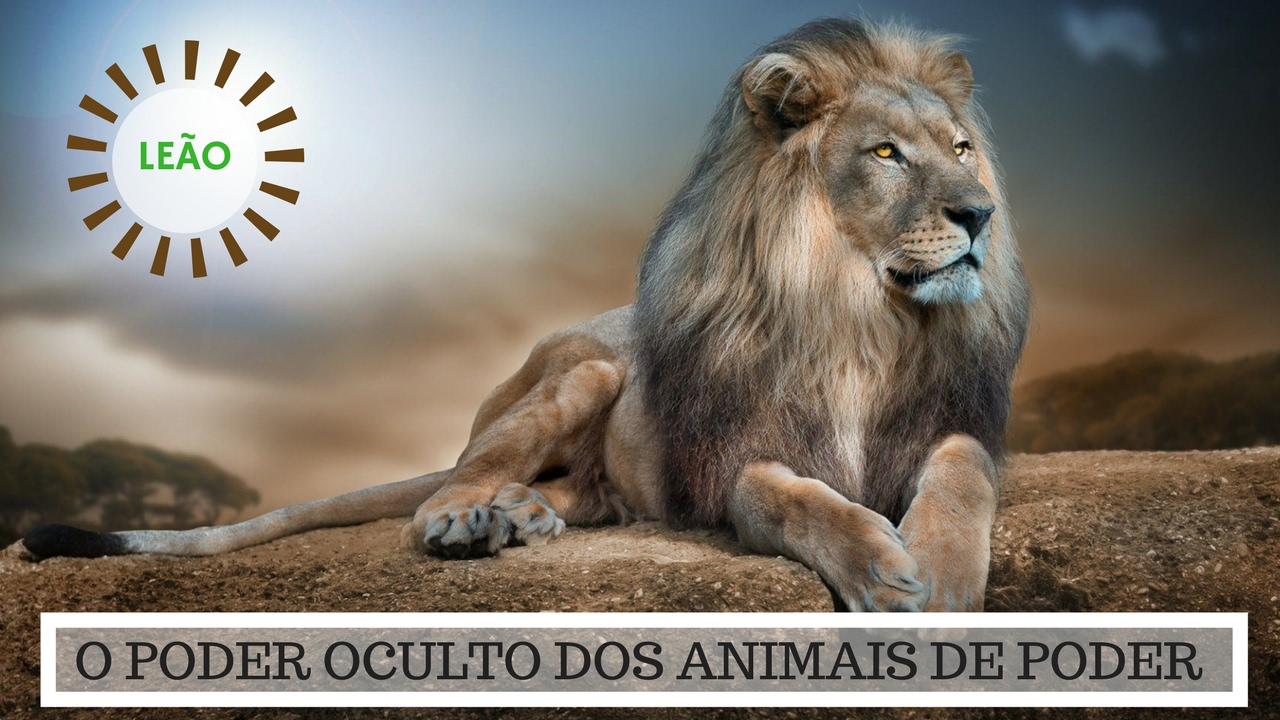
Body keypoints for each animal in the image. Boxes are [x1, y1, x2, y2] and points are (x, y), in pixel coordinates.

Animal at [24, 19, 1029, 612]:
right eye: (887, 154)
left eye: (962, 147)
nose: (981, 212)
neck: (860, 315)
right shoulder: (732, 458)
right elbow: (794, 499)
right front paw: (882, 568)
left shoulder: (948, 423)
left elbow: (962, 474)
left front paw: (941, 575)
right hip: (586, 369)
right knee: (447, 484)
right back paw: (470, 520)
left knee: (565, 493)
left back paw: (524, 517)